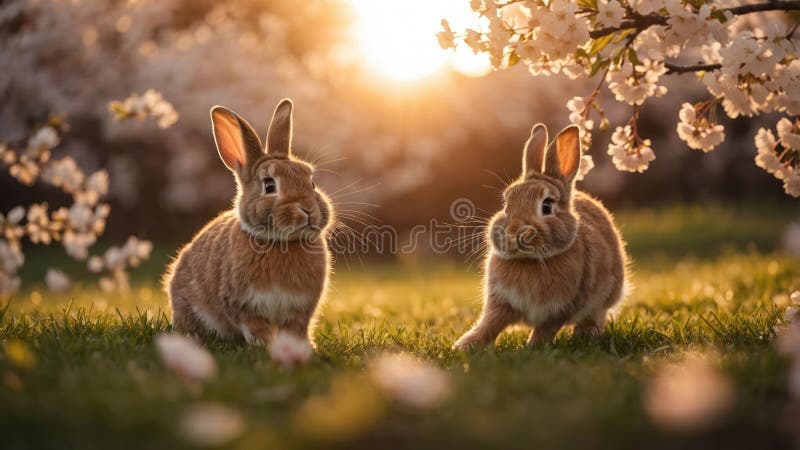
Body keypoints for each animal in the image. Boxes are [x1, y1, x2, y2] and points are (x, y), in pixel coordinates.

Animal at [164, 99, 332, 348]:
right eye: (269, 185)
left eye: (311, 183)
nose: (308, 209)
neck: (280, 243)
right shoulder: (245, 306)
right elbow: (256, 327)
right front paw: (263, 346)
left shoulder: (299, 310)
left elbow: (295, 330)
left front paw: (301, 347)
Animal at [454, 124, 628, 349]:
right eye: (506, 204)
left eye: (547, 206)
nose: (514, 232)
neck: (530, 262)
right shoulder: (501, 302)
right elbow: (490, 322)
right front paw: (465, 345)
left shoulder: (563, 308)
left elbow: (546, 328)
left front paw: (533, 346)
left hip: (606, 295)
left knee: (597, 315)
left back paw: (586, 334)